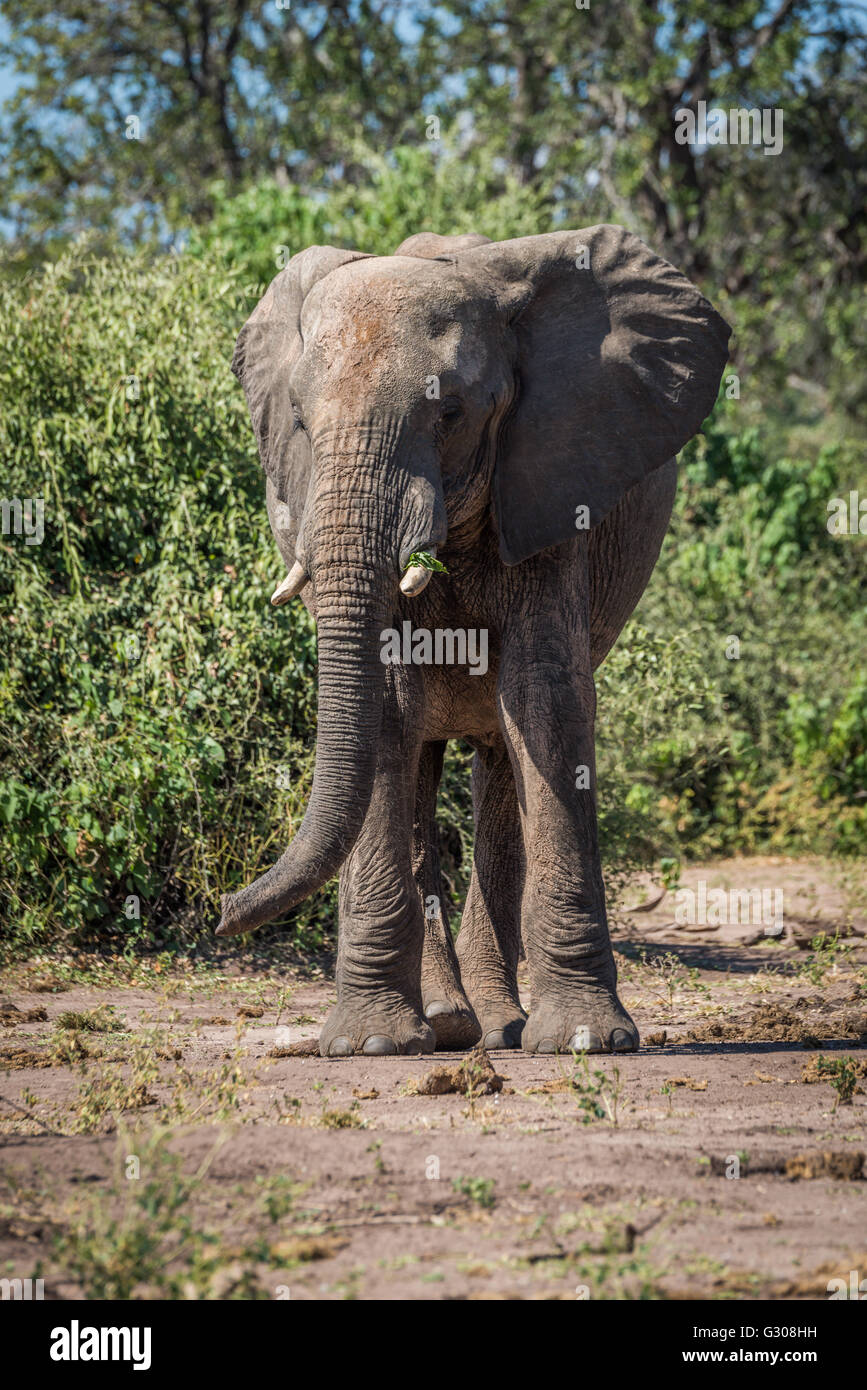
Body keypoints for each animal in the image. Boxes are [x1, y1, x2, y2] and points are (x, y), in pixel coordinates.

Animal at [215, 225, 731, 1058]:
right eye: (297, 417)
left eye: (451, 411)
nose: (224, 910)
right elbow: (385, 712)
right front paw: (368, 1047)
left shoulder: (553, 480)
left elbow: (546, 702)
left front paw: (587, 1040)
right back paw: (448, 1025)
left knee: (498, 769)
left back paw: (493, 1028)